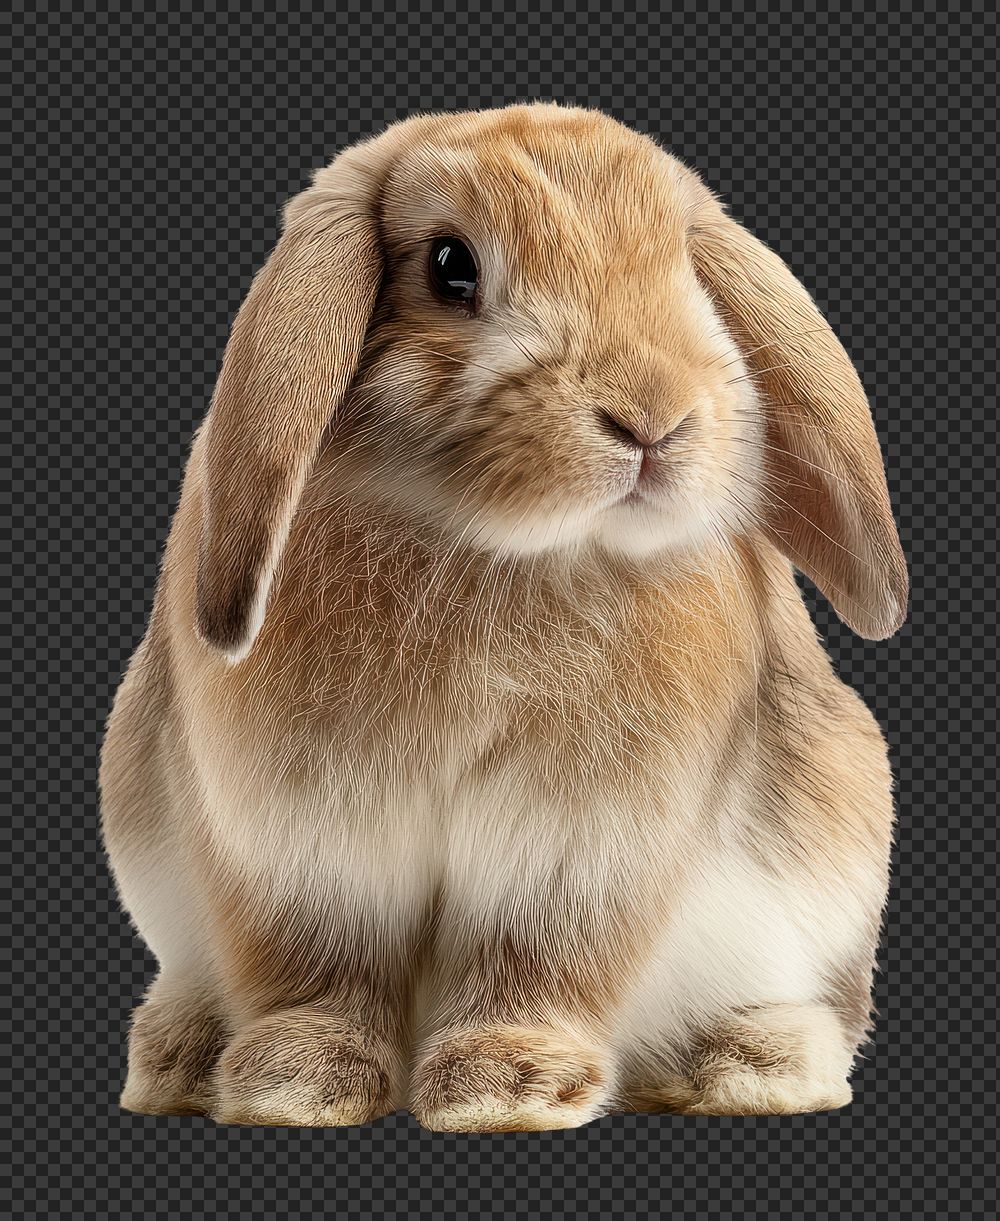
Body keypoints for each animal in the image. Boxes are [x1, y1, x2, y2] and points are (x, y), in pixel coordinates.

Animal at [101, 102, 907, 1131]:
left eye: (684, 268)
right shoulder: (297, 839)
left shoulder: (578, 848)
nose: (653, 416)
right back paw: (179, 1057)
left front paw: (505, 1085)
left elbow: (536, 953)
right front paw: (293, 1078)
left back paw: (752, 1063)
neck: (500, 546)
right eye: (451, 266)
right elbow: (317, 960)